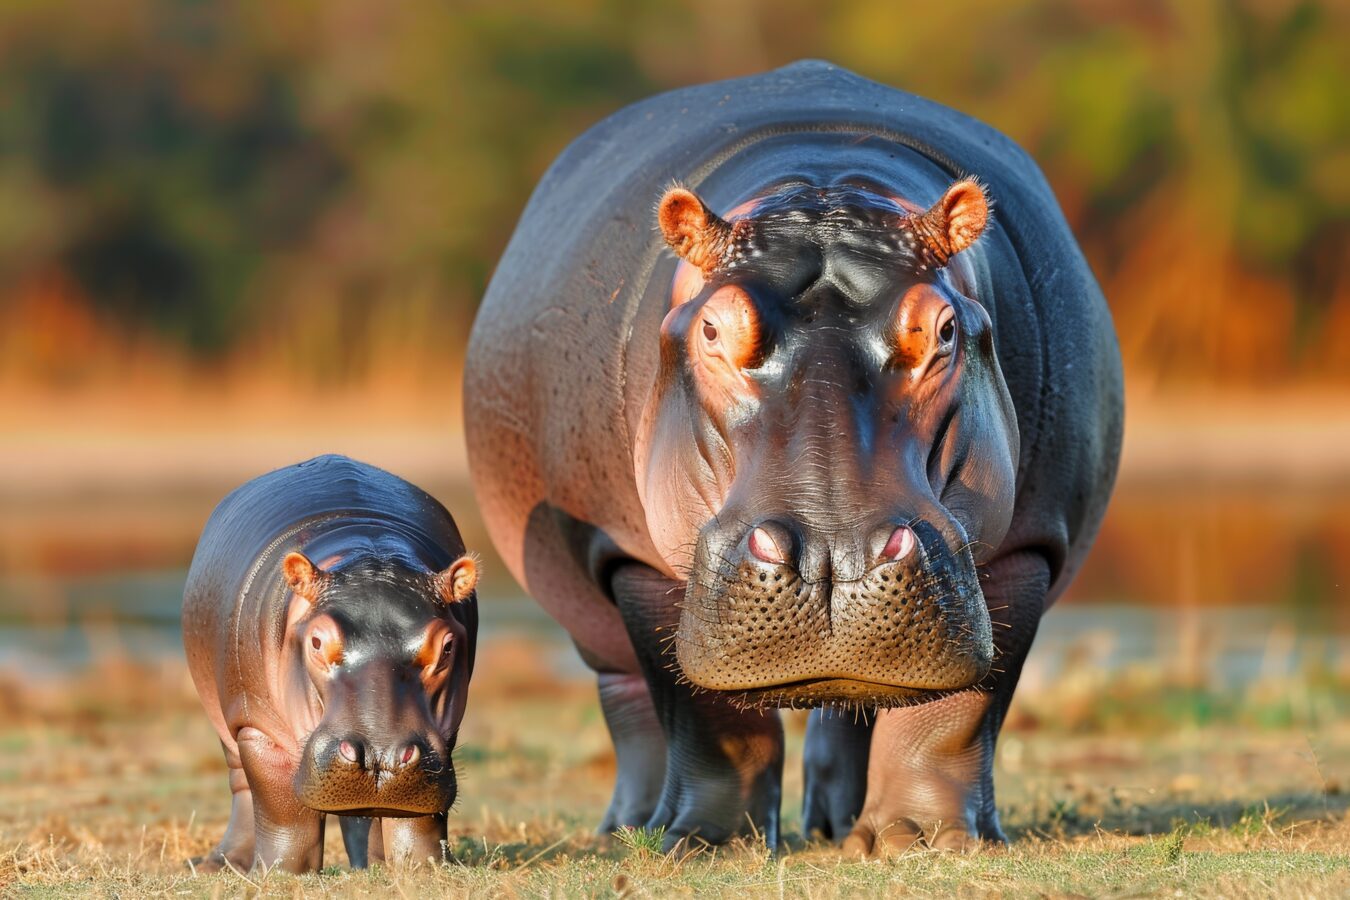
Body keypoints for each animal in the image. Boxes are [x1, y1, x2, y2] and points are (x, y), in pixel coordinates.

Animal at [182, 455, 479, 873]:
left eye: (448, 647)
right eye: (317, 641)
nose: (380, 757)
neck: (369, 555)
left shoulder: (443, 736)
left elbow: (419, 819)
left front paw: (424, 870)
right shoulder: (258, 728)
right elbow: (282, 810)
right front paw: (280, 873)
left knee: (363, 814)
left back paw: (373, 866)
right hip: (230, 722)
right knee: (242, 785)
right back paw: (223, 863)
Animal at [465, 61, 1122, 854]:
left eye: (943, 330)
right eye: (712, 329)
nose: (832, 555)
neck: (825, 187)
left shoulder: (1025, 547)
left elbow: (954, 716)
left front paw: (919, 839)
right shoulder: (641, 563)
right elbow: (706, 715)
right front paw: (709, 841)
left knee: (853, 707)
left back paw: (839, 828)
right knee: (629, 699)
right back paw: (629, 829)